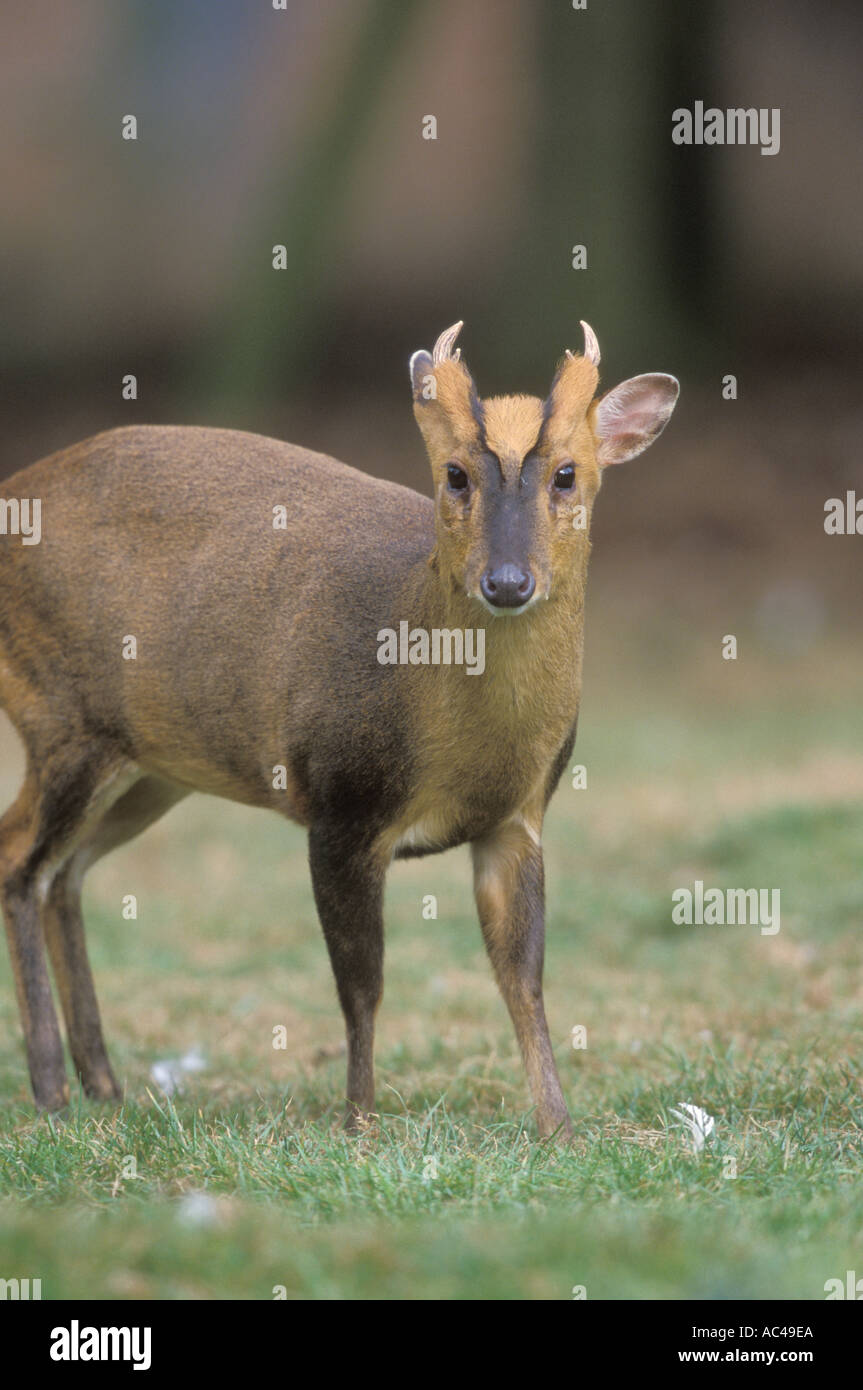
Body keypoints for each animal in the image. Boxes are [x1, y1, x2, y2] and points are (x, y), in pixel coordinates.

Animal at [0, 321, 678, 1137]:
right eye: (455, 475)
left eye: (567, 475)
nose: (508, 582)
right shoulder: (339, 805)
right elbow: (362, 984)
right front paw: (358, 1123)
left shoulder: (517, 821)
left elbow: (524, 979)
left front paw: (558, 1130)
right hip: (60, 719)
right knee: (17, 859)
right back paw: (50, 1090)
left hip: (152, 765)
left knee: (64, 874)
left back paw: (103, 1085)